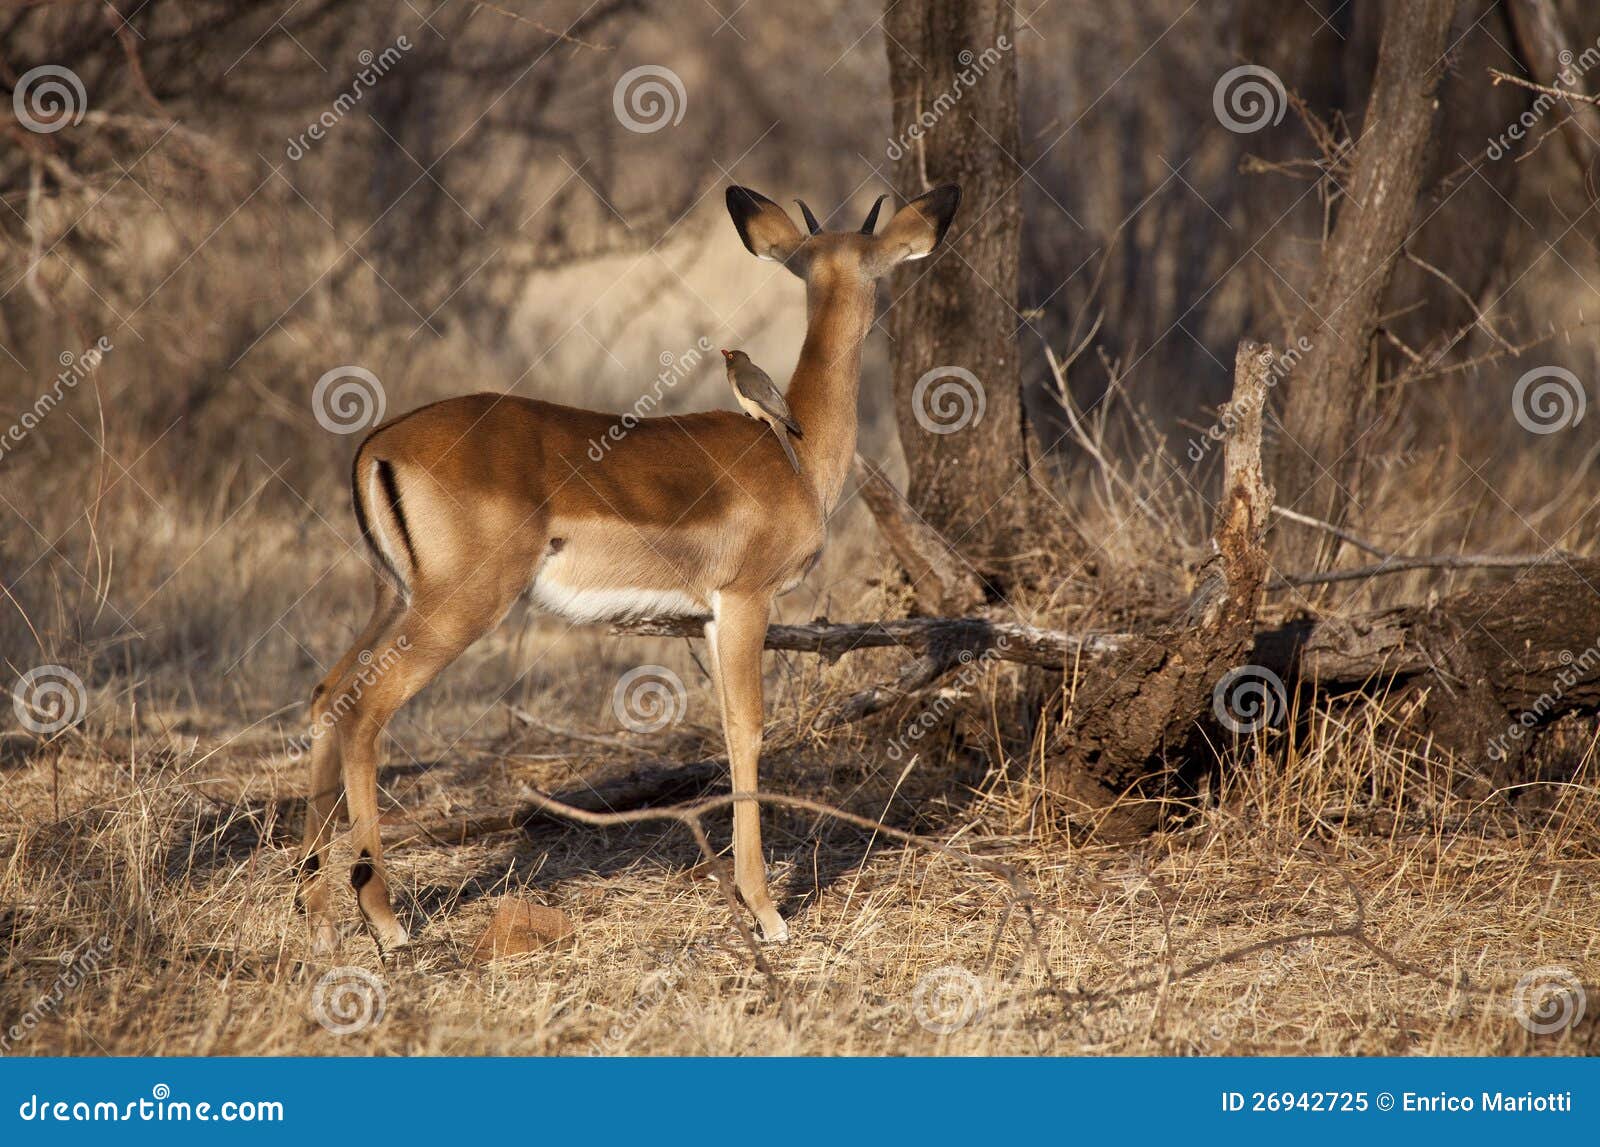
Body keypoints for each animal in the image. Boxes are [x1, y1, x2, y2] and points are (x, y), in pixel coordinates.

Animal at [297, 182, 962, 952]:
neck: (792, 445)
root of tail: (376, 444)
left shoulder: (708, 620)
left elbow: (728, 730)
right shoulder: (746, 601)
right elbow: (748, 729)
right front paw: (766, 912)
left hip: (393, 598)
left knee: (327, 695)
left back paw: (318, 920)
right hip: (457, 608)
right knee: (365, 712)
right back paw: (386, 921)